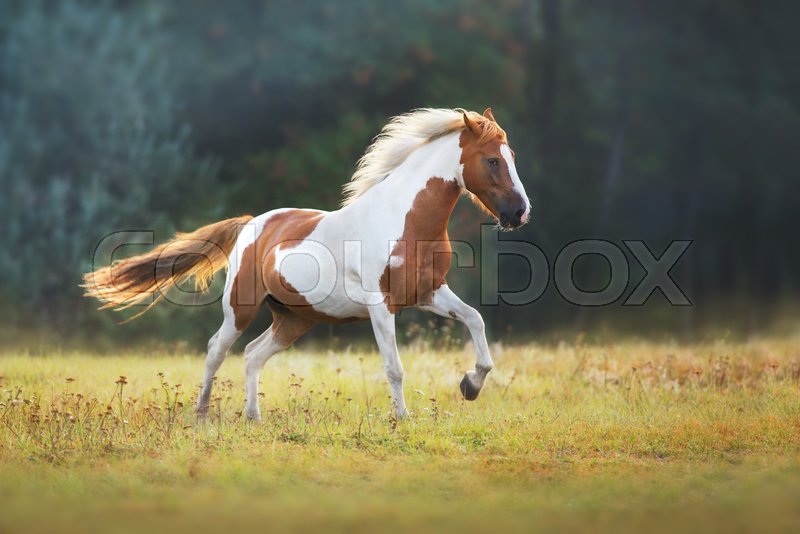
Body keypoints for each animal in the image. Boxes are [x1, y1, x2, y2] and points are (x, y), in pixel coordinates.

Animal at [83, 107, 530, 420]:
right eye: (492, 160)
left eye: (511, 155)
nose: (519, 212)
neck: (403, 218)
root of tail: (252, 222)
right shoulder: (380, 304)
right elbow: (394, 367)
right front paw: (404, 417)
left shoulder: (429, 293)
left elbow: (475, 320)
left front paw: (470, 385)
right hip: (241, 308)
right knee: (216, 350)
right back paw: (202, 413)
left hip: (294, 319)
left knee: (253, 355)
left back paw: (253, 417)